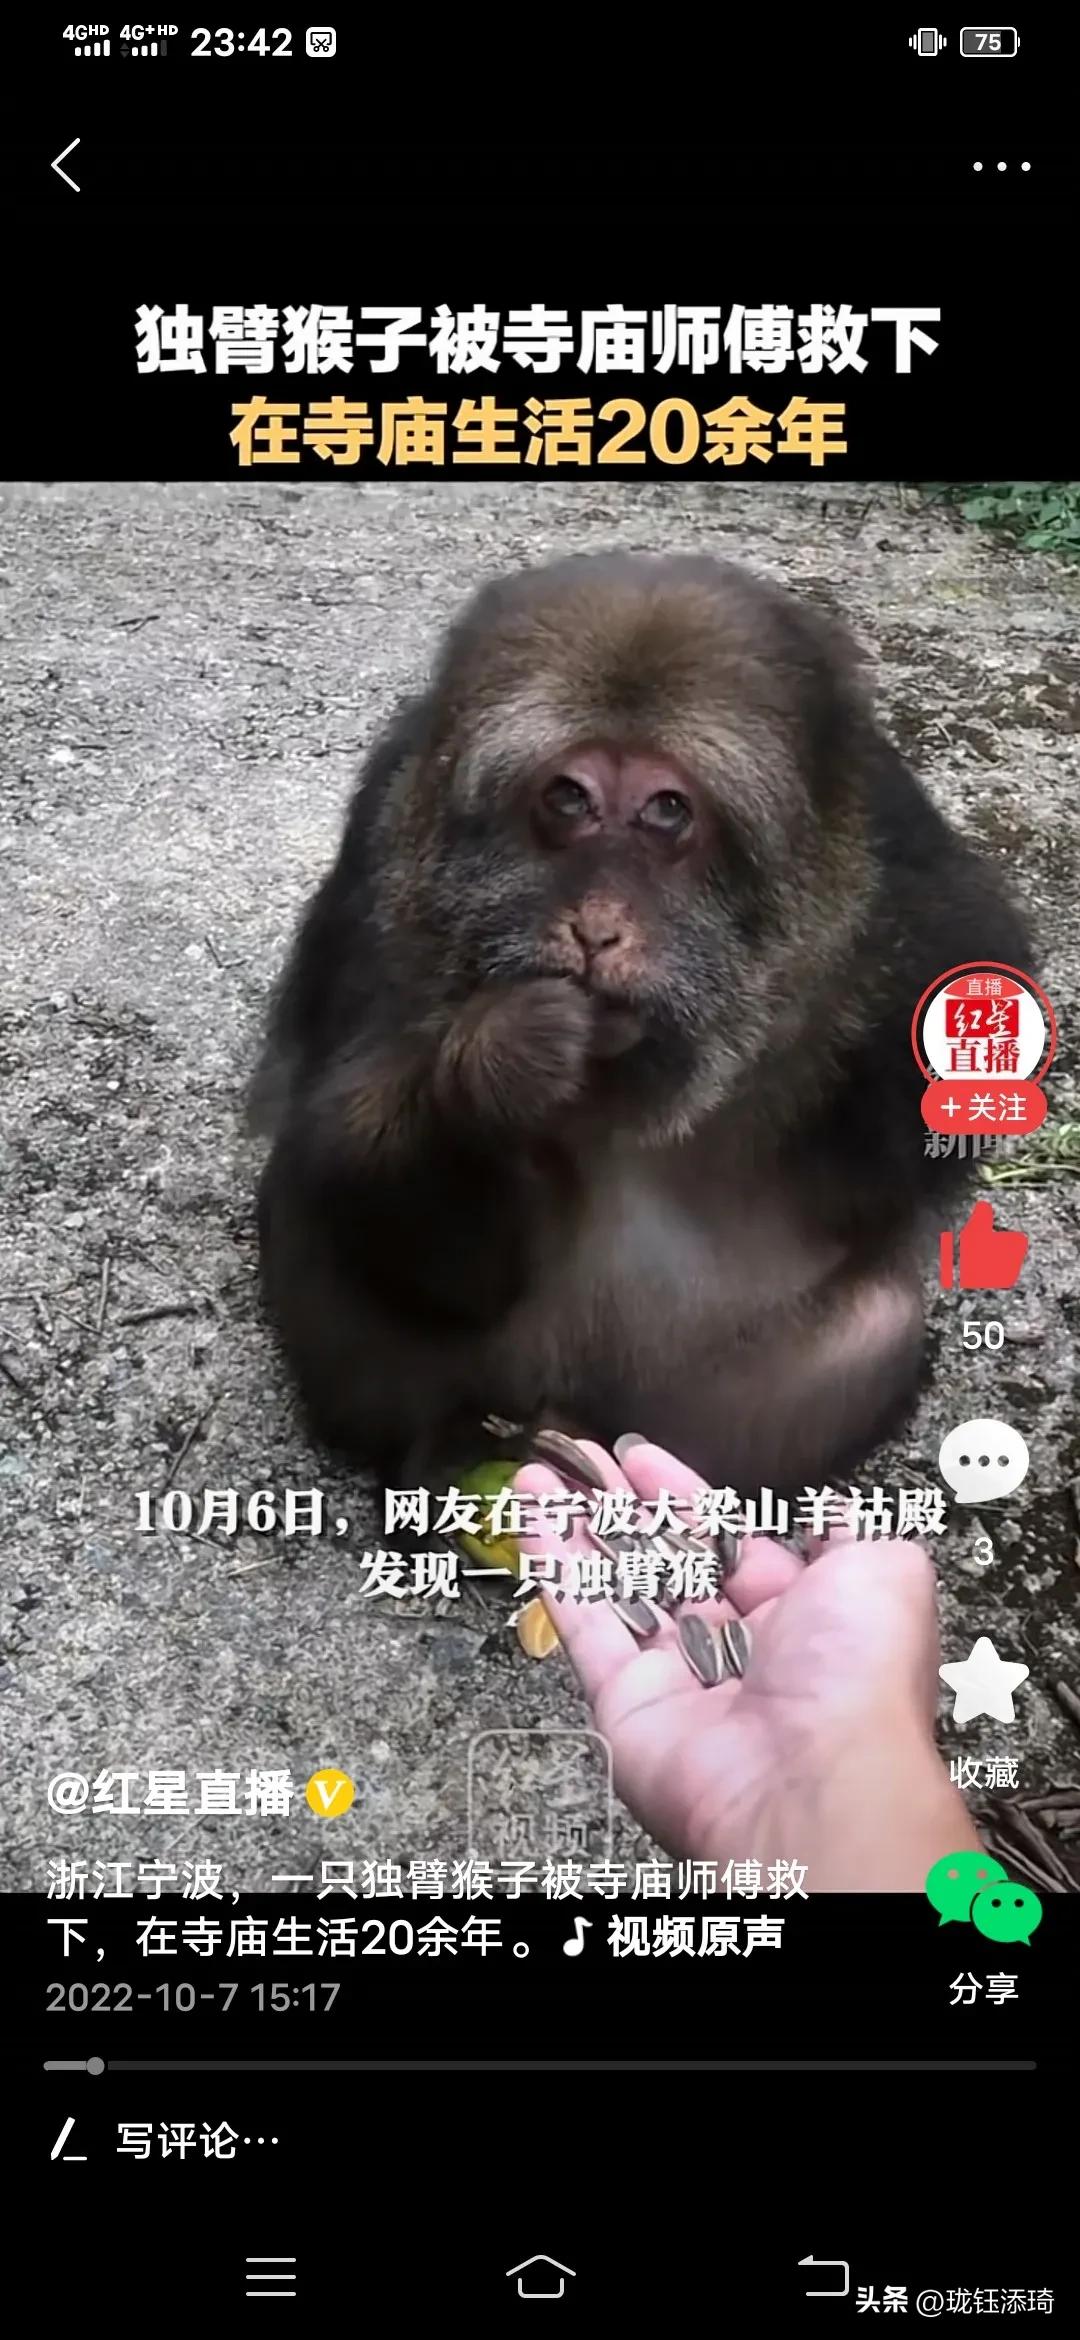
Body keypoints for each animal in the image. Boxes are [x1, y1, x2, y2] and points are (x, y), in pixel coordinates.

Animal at [250, 550, 1033, 1509]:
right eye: (568, 798)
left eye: (666, 810)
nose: (595, 929)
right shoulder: (381, 859)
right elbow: (344, 1139)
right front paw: (494, 1072)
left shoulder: (906, 866)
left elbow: (917, 1112)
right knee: (312, 1218)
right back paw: (442, 1450)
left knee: (871, 1328)